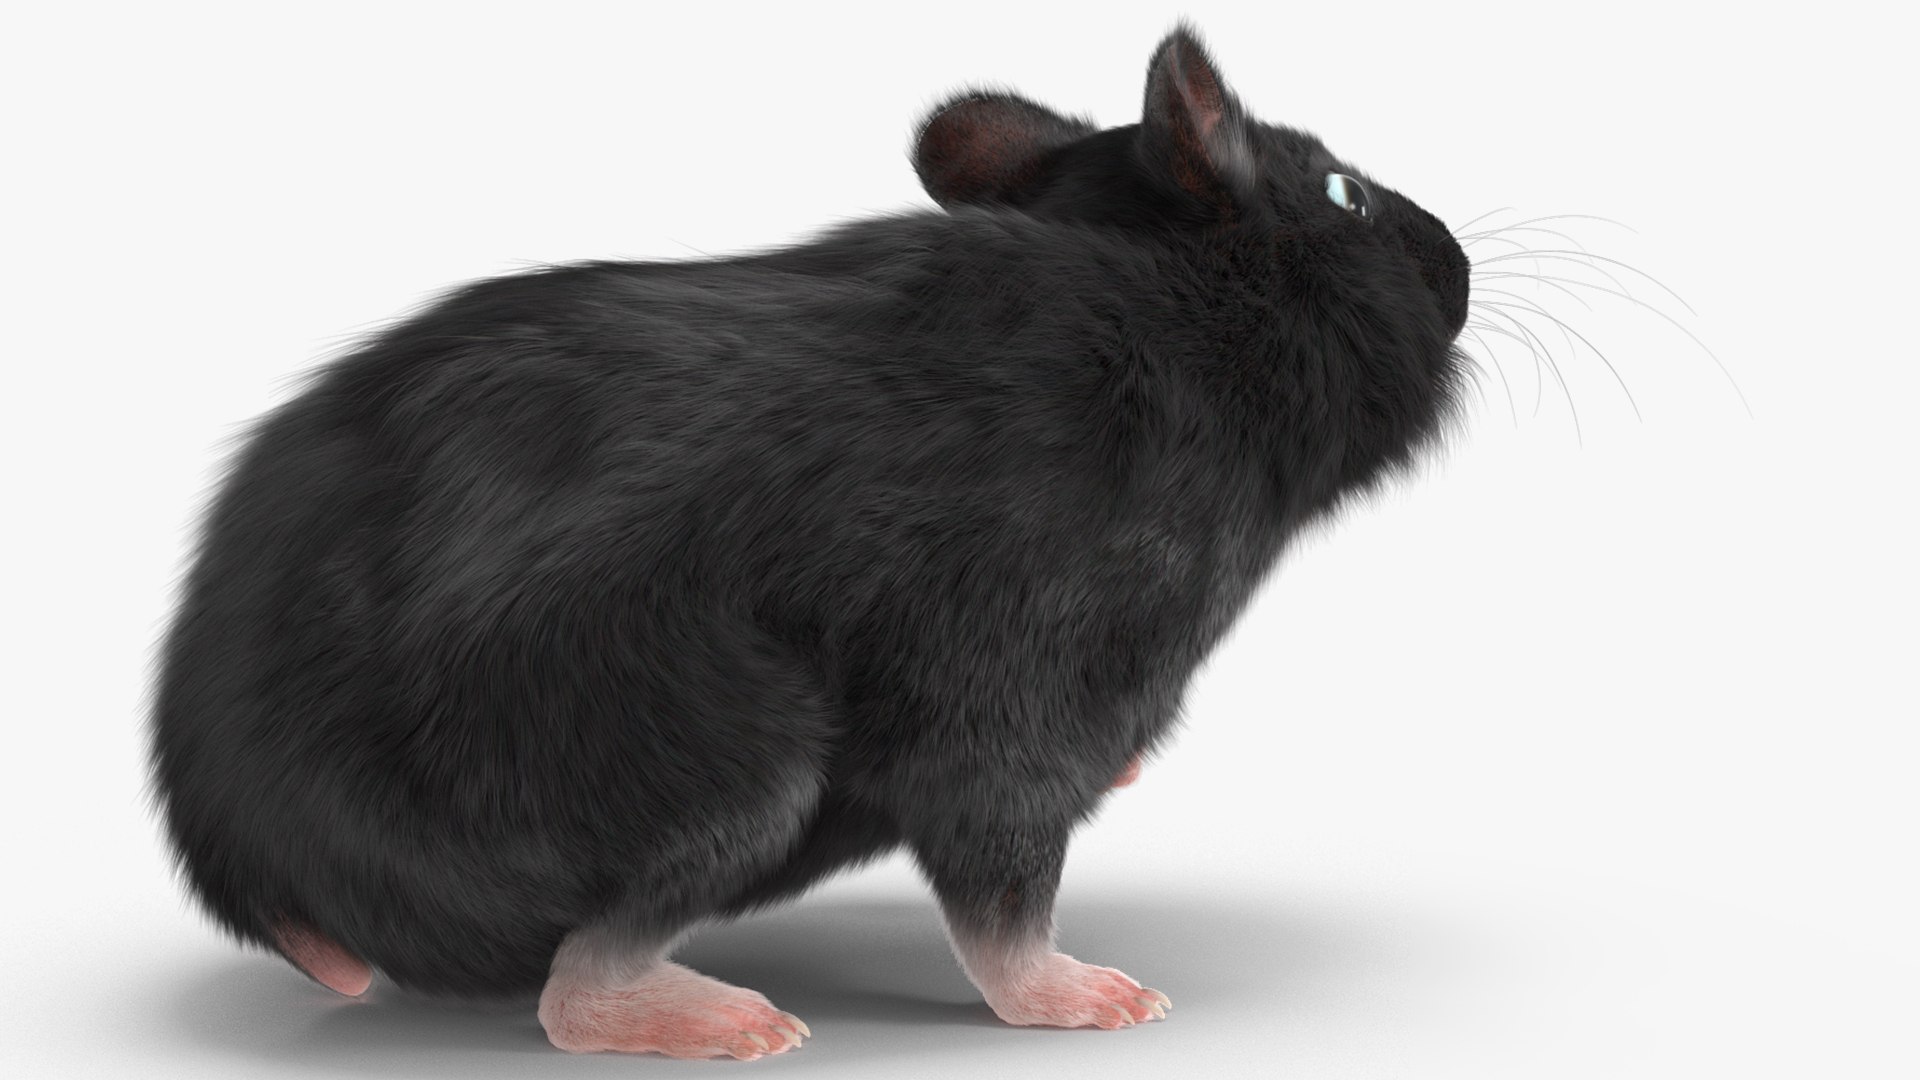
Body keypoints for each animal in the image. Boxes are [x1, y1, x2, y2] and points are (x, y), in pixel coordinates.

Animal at [148, 23, 1469, 1059]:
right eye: (1345, 195)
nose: (1455, 260)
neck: (1181, 311)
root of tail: (248, 857)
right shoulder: (1023, 683)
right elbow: (1001, 877)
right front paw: (1072, 992)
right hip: (722, 749)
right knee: (576, 989)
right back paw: (710, 1016)